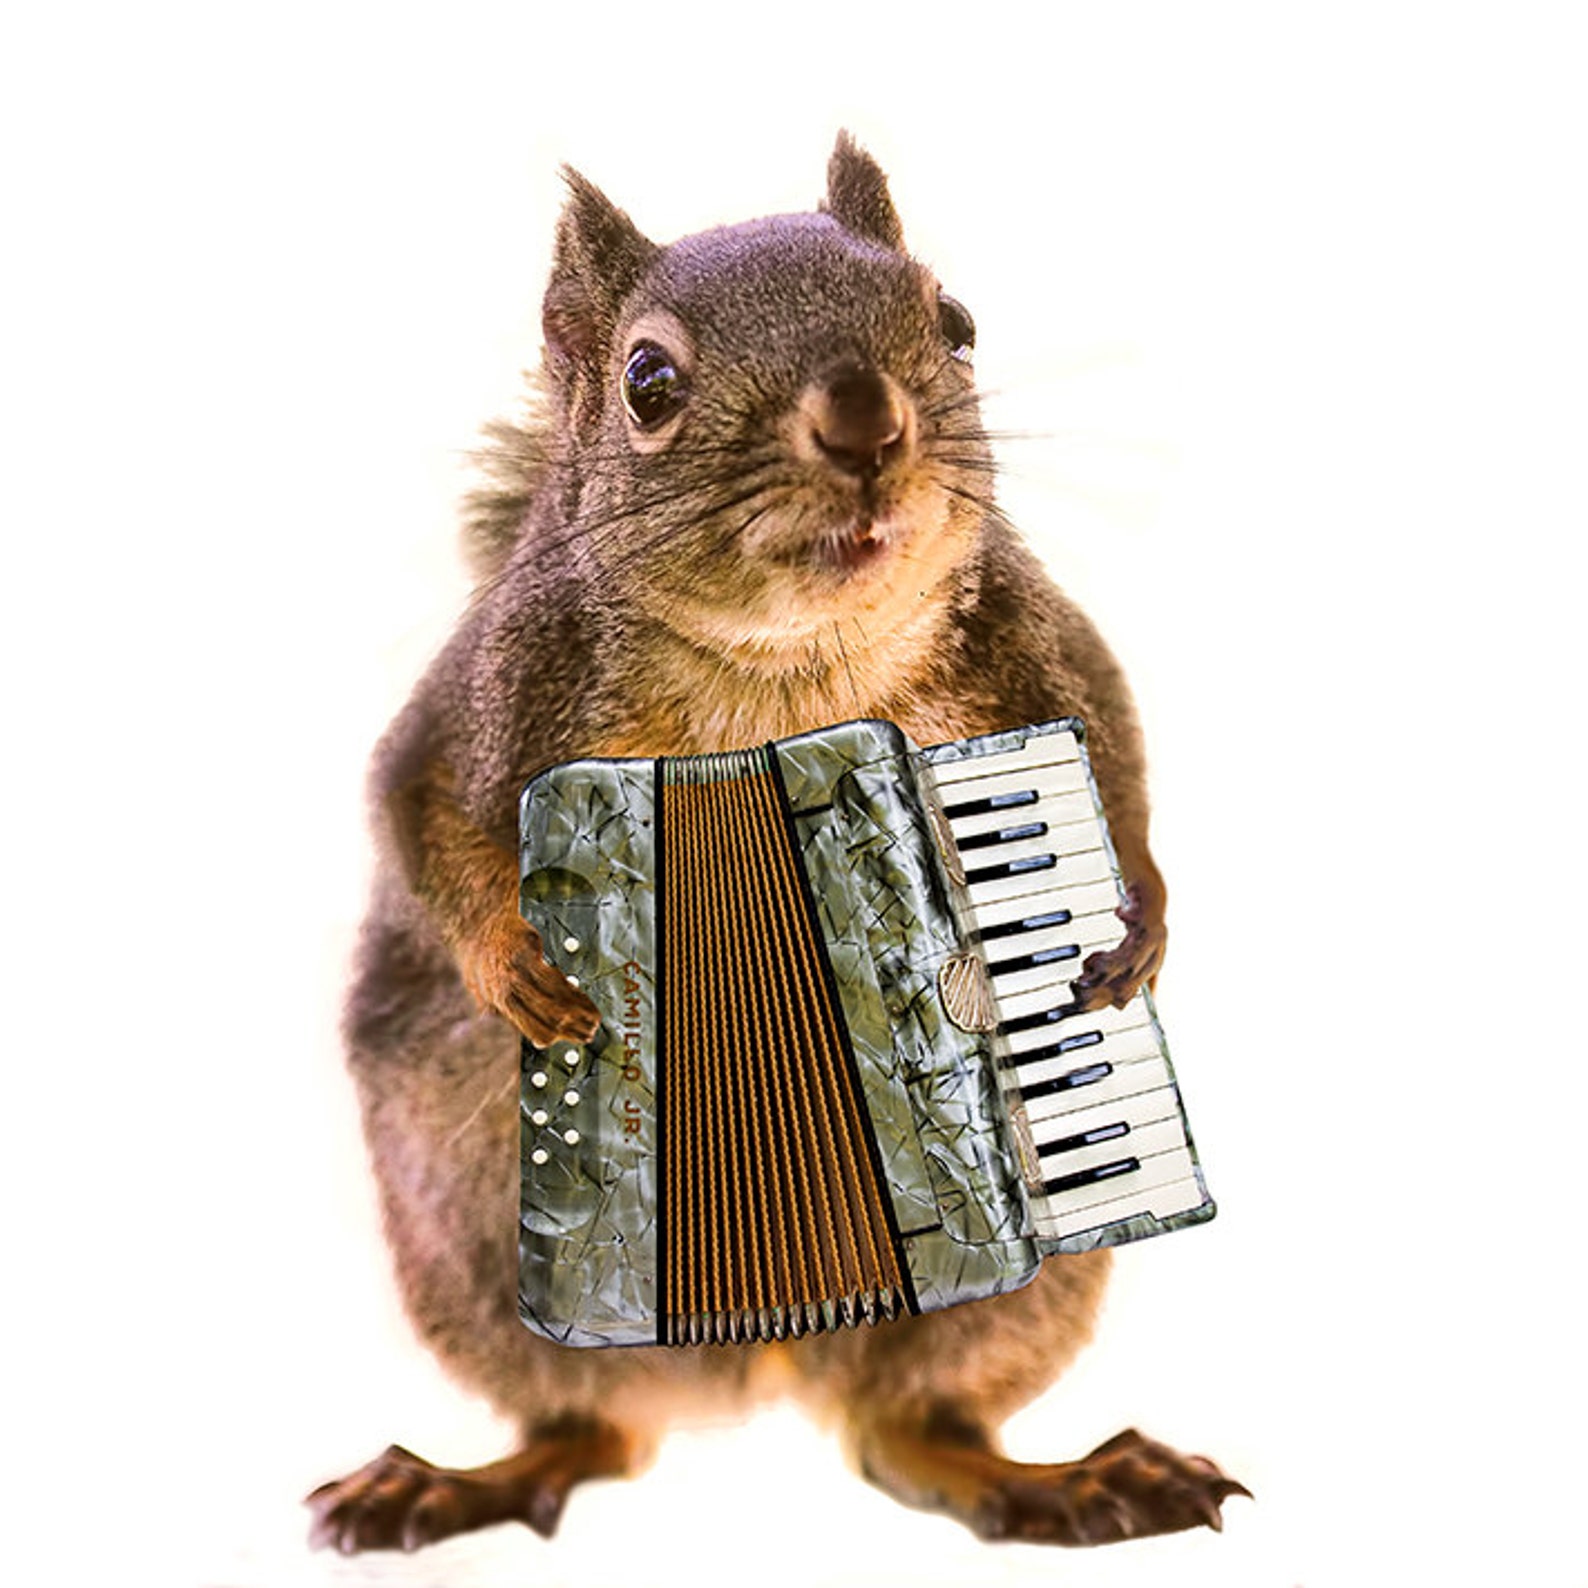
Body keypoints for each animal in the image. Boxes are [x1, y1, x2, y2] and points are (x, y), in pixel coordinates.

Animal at [308, 133, 1247, 1554]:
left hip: (1027, 1293)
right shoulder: (473, 702)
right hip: (459, 1244)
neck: (792, 667)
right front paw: (515, 971)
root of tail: (770, 1357)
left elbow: (1121, 754)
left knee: (912, 1425)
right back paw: (473, 1477)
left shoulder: (1044, 646)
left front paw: (1133, 923)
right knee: (591, 1424)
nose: (867, 423)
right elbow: (412, 814)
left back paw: (1053, 1480)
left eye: (954, 322)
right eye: (647, 382)